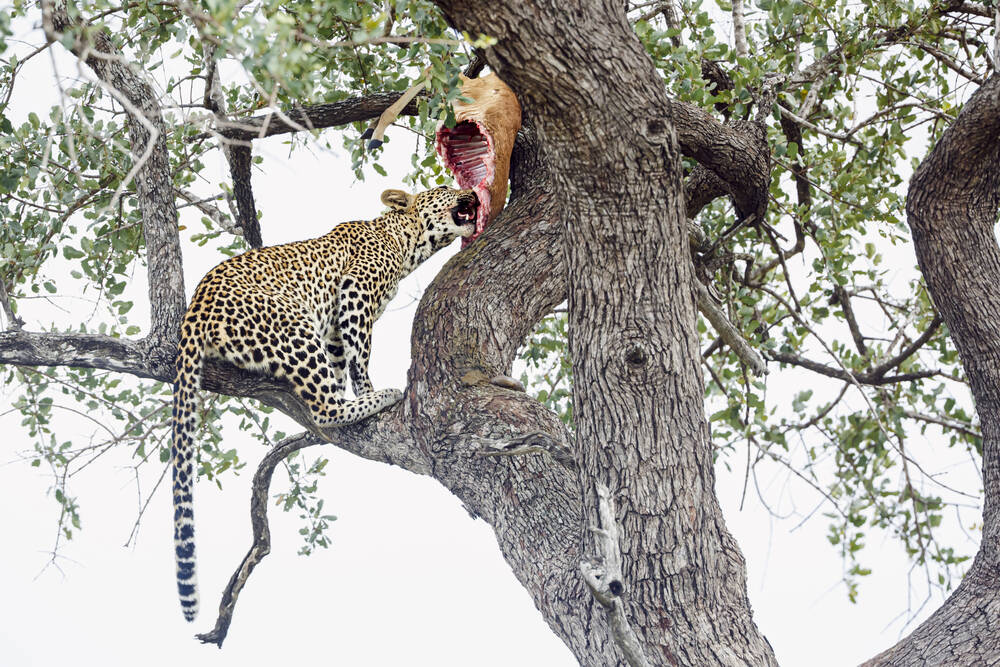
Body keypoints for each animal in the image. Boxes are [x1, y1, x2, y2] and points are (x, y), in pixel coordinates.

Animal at [170, 186, 479, 621]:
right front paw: (368, 388)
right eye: (444, 189)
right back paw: (383, 396)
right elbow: (359, 356)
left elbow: (340, 360)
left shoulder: (333, 328)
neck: (404, 241)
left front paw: (353, 383)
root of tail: (195, 309)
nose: (470, 192)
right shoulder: (356, 293)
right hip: (293, 324)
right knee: (324, 407)